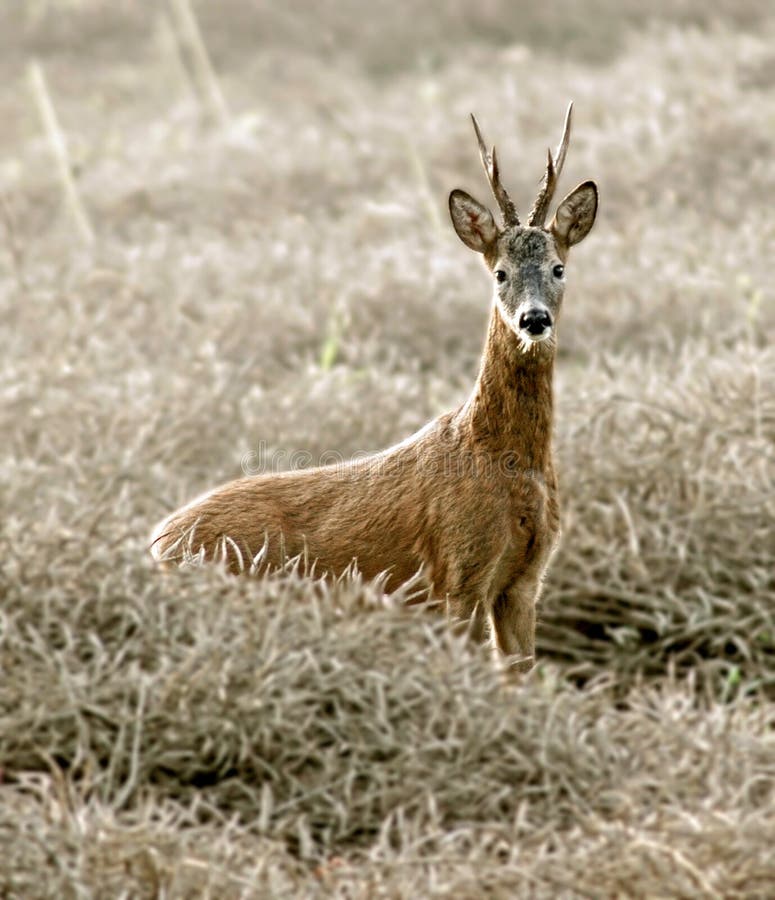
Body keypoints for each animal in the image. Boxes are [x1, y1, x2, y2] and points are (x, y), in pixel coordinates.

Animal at [149, 103, 597, 672]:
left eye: (559, 268)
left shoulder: (524, 580)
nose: (534, 319)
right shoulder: (457, 572)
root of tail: (156, 544)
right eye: (499, 274)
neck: (503, 457)